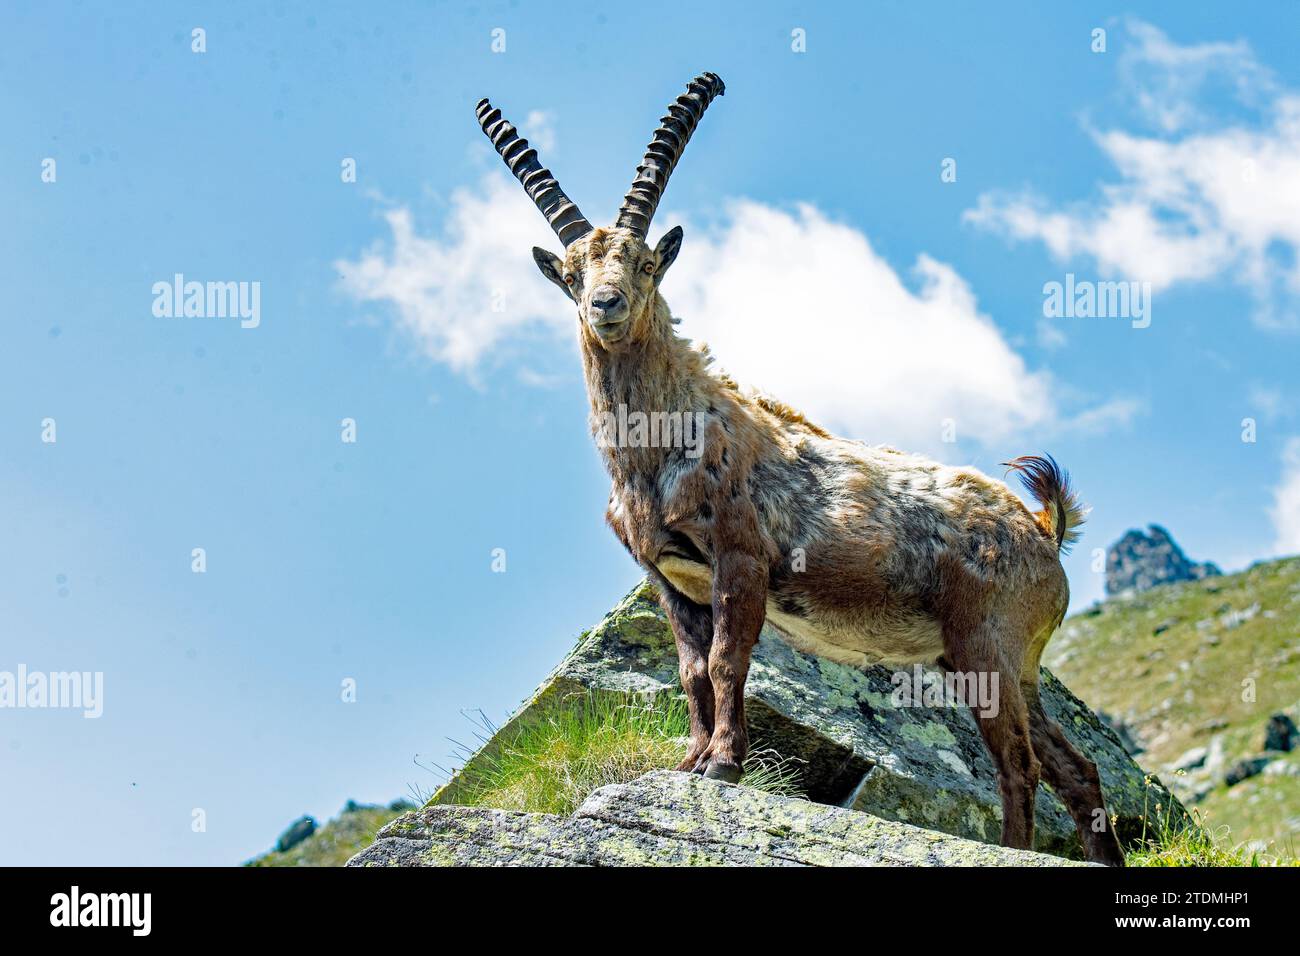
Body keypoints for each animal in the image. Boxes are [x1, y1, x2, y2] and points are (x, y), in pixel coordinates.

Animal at [476, 73, 1125, 865]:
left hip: (986, 642)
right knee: (1077, 768)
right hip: (1010, 662)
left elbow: (729, 660)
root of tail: (1043, 528)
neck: (660, 443)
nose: (606, 304)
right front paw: (690, 762)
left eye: (646, 263)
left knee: (1018, 763)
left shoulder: (742, 557)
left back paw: (1014, 847)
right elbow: (691, 672)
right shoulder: (670, 579)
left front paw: (724, 765)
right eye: (571, 274)